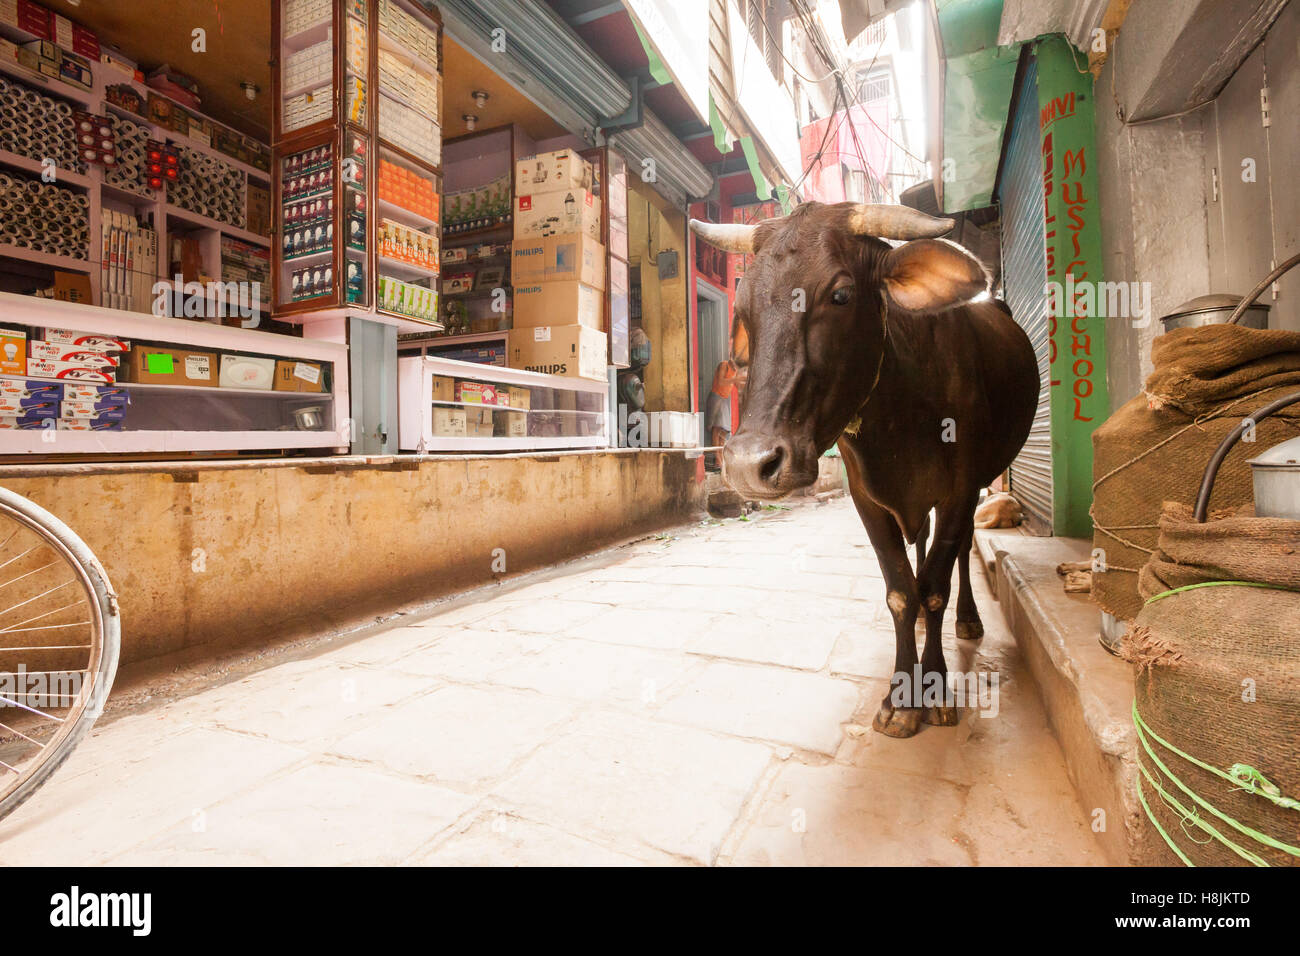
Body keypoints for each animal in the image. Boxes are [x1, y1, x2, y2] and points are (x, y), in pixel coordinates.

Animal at [690, 202, 1039, 738]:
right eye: (743, 306)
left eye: (840, 294)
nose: (749, 464)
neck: (901, 415)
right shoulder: (867, 499)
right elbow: (901, 591)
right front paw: (901, 697)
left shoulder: (960, 491)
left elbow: (933, 589)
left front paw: (935, 688)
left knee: (959, 556)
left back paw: (968, 619)